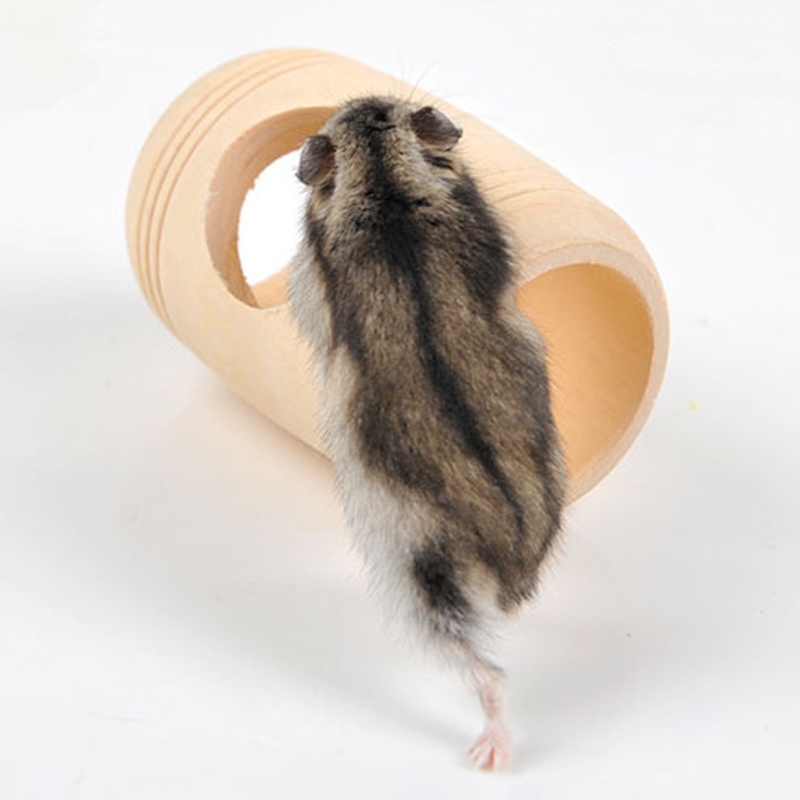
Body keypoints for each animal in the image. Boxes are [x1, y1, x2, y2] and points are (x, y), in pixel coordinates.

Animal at [287, 96, 566, 771]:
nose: (360, 102)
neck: (386, 183)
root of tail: (510, 562)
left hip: (422, 579)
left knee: (487, 672)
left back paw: (489, 753)